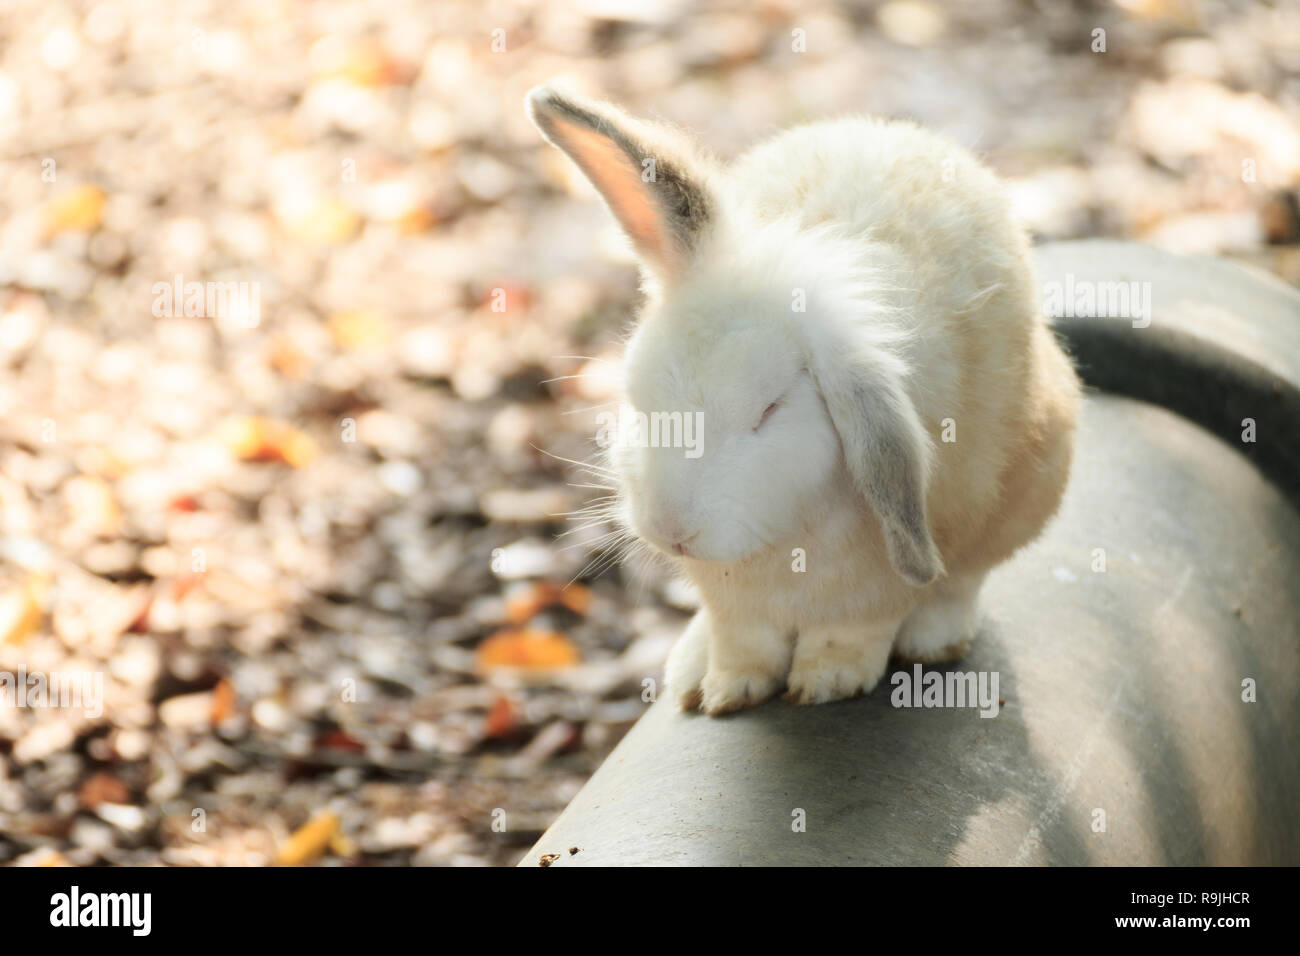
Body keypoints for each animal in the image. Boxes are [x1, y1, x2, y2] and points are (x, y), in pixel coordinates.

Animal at [526, 85, 1080, 715]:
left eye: (769, 411)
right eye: (640, 400)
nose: (672, 530)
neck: (781, 538)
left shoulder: (875, 591)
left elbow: (854, 632)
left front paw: (826, 683)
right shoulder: (734, 606)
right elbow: (740, 641)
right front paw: (727, 689)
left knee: (961, 582)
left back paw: (932, 641)